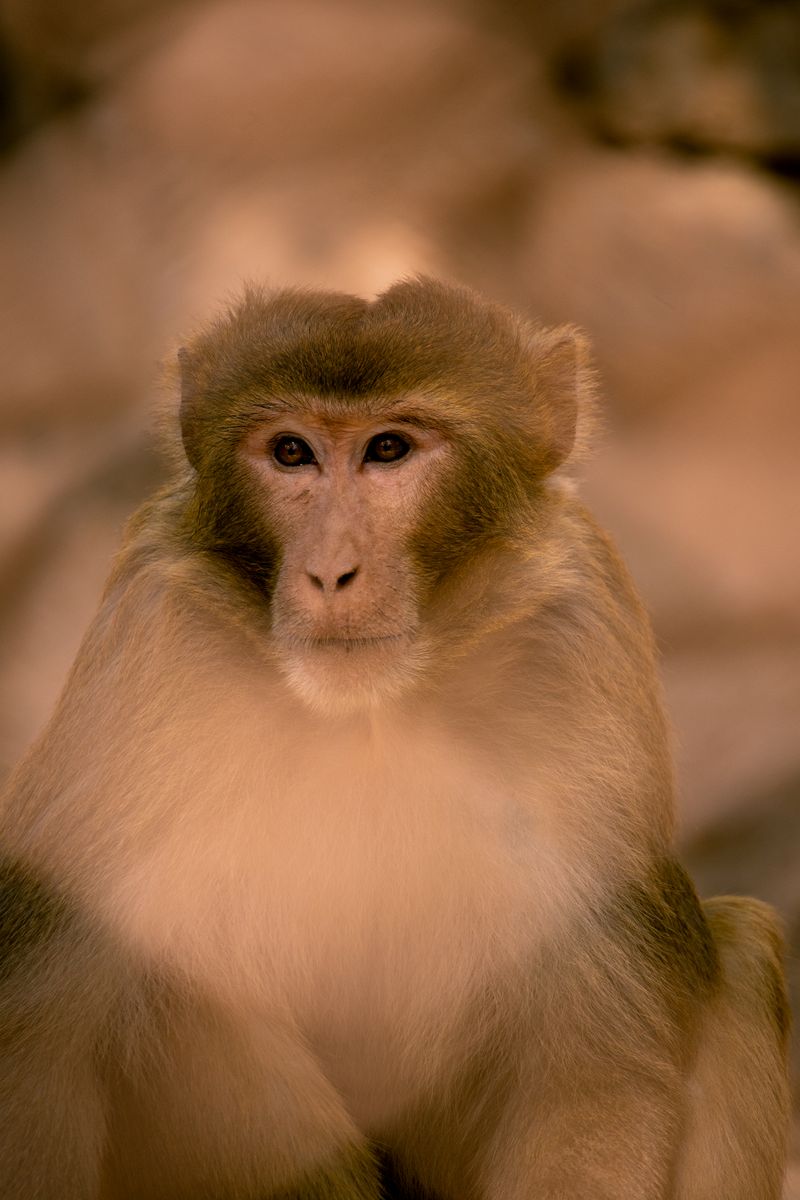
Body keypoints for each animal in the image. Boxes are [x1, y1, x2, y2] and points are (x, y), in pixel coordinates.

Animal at [0, 277, 790, 1199]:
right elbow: (45, 1030)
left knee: (742, 947)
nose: (329, 571)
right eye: (292, 452)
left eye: (388, 449)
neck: (372, 714)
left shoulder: (578, 620)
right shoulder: (152, 632)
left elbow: (591, 1073)